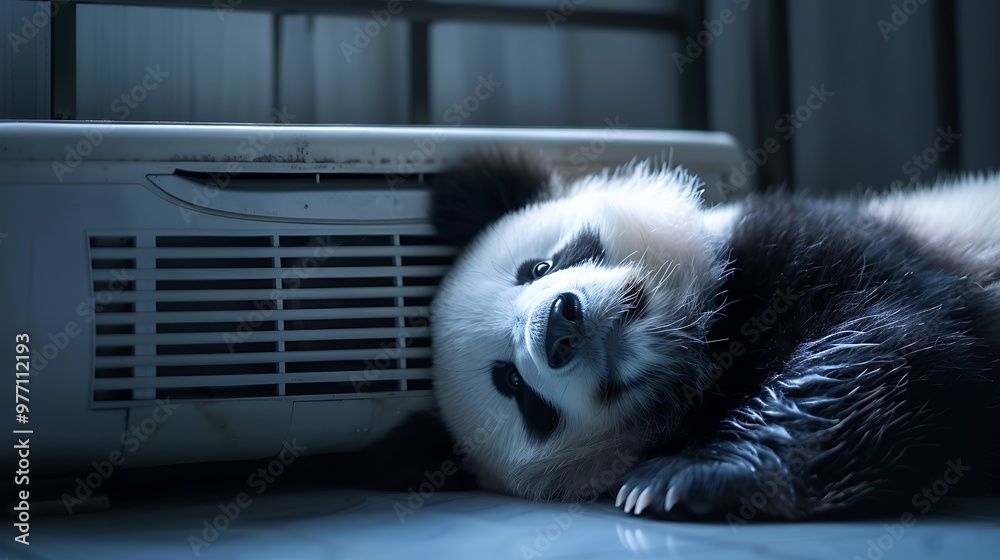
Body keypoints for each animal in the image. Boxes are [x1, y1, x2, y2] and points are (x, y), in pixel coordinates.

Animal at [392, 150, 1000, 521]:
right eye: (515, 387)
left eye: (538, 268)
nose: (561, 325)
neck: (700, 344)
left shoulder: (824, 242)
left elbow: (886, 341)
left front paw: (688, 474)